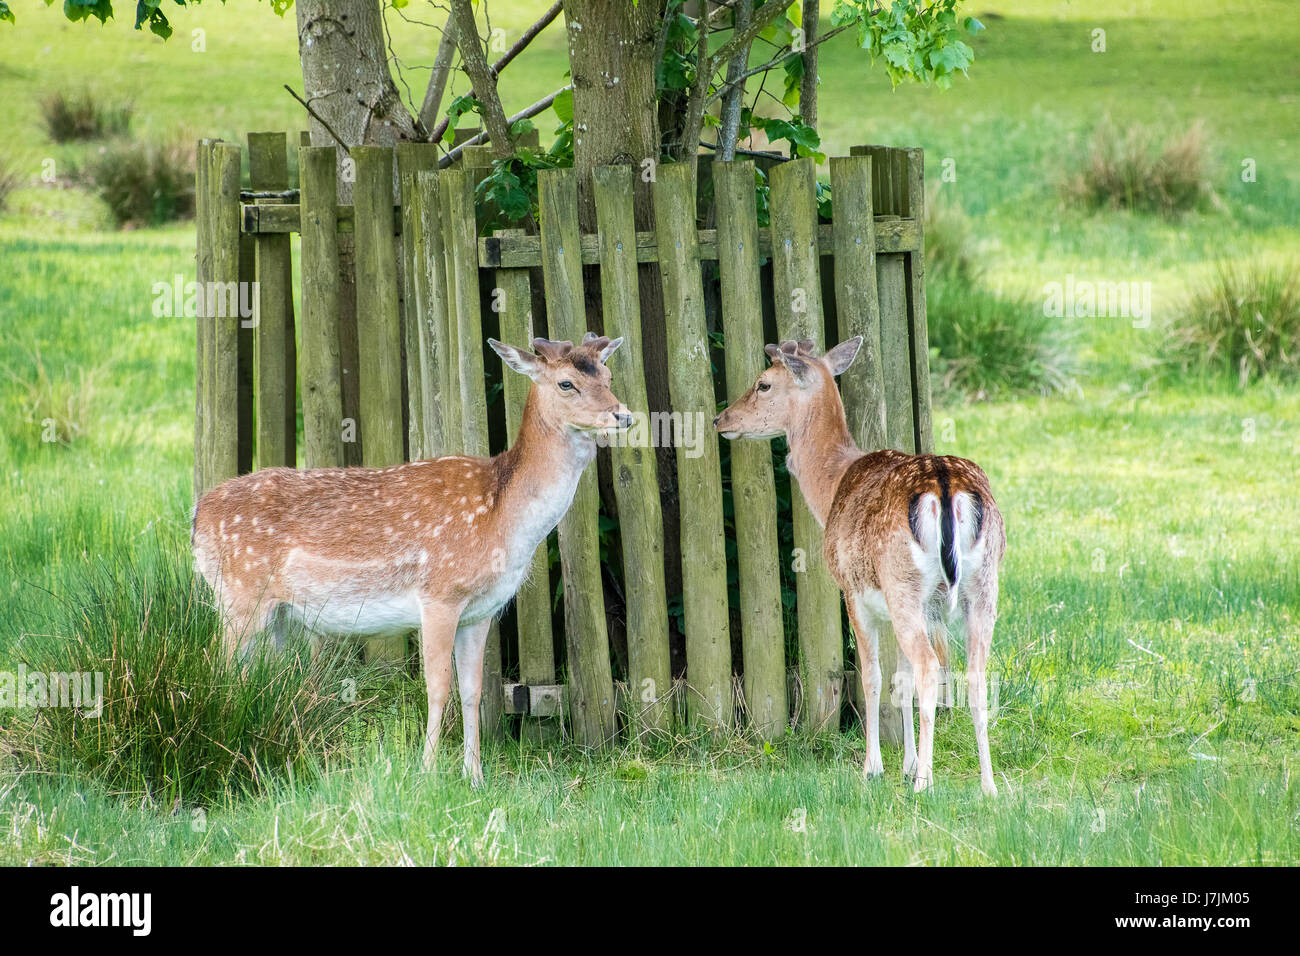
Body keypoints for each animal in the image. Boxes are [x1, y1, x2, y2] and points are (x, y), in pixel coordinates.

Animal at [192, 333, 631, 786]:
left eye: (609, 376)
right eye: (566, 383)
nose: (623, 415)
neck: (501, 517)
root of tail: (196, 517)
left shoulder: (481, 611)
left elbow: (473, 690)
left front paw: (475, 776)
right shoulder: (440, 593)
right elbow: (437, 685)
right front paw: (428, 771)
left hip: (274, 613)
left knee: (261, 675)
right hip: (239, 595)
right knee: (218, 667)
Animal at [714, 337, 1005, 795]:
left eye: (763, 383)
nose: (720, 419)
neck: (832, 486)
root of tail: (946, 488)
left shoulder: (853, 591)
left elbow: (872, 676)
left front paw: (876, 767)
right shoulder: (918, 607)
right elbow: (900, 681)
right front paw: (905, 763)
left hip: (903, 583)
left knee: (929, 668)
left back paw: (924, 784)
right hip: (982, 584)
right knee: (975, 674)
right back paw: (989, 786)